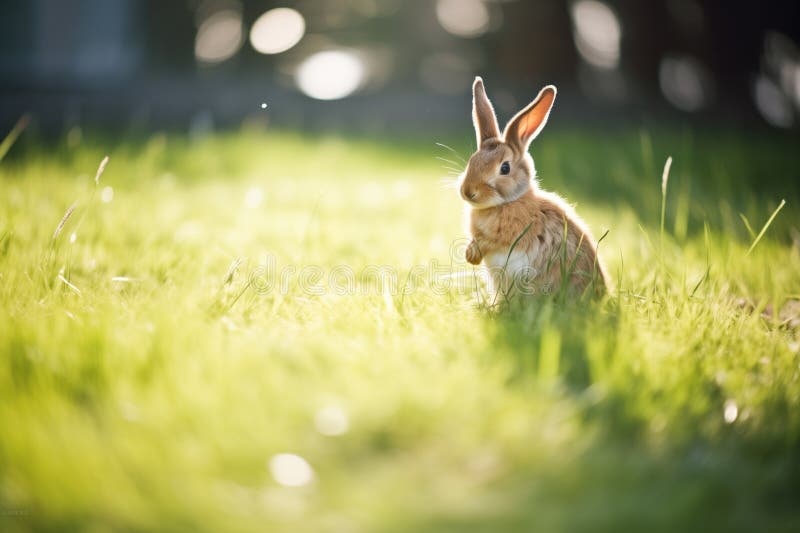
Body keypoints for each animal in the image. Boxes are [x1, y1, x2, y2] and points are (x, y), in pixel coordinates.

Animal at [460, 77, 608, 299]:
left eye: (505, 168)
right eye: (472, 161)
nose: (468, 192)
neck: (507, 202)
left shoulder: (510, 236)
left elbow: (491, 242)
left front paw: (473, 255)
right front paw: (470, 255)